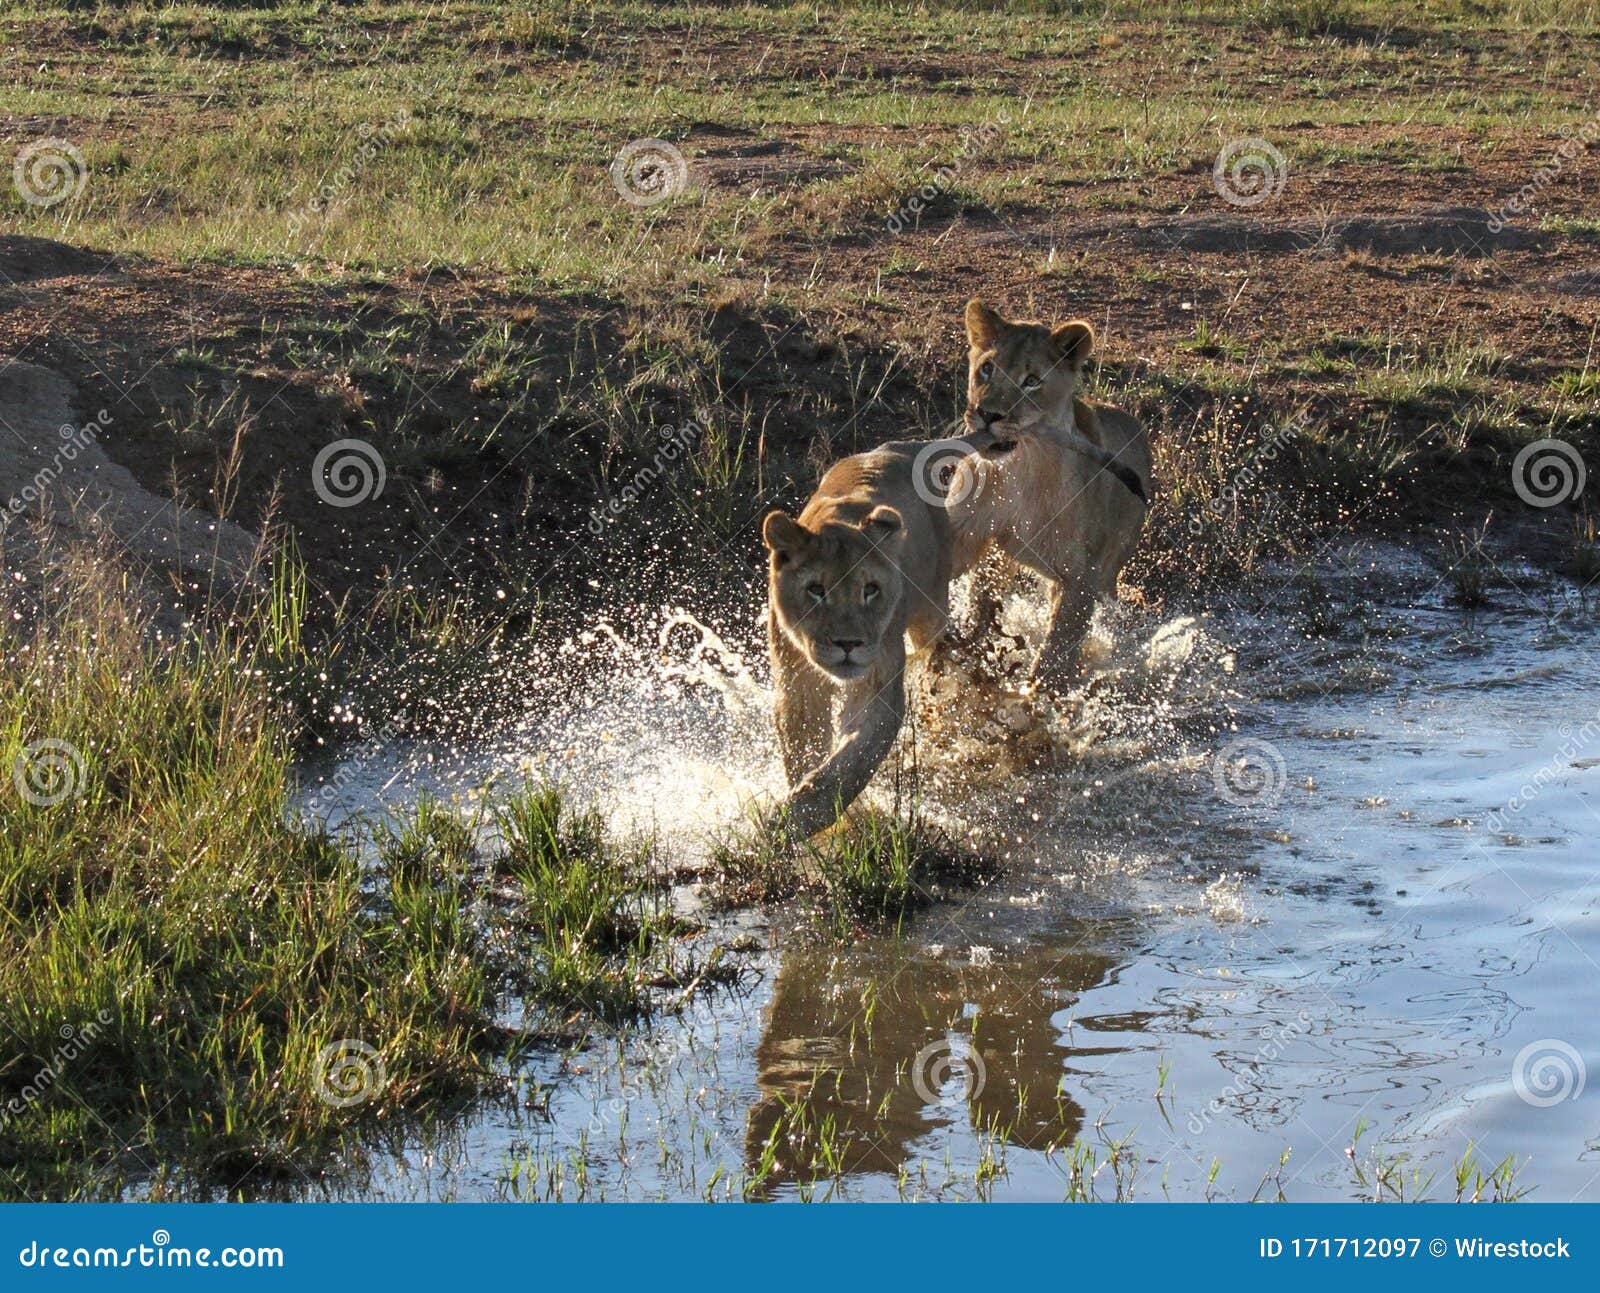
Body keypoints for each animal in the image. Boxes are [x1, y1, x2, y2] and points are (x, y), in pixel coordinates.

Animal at [762, 429, 1011, 840]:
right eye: (816, 590)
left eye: (870, 590)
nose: (848, 645)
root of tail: (904, 448)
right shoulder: (798, 680)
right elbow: (804, 744)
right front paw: (799, 811)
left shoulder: (880, 678)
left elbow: (856, 760)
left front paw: (798, 818)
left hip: (931, 606)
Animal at [947, 298, 1152, 690]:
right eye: (987, 369)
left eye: (1031, 382)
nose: (987, 414)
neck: (1018, 470)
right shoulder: (965, 536)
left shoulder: (1081, 575)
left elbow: (1060, 644)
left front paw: (1042, 694)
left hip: (1111, 565)